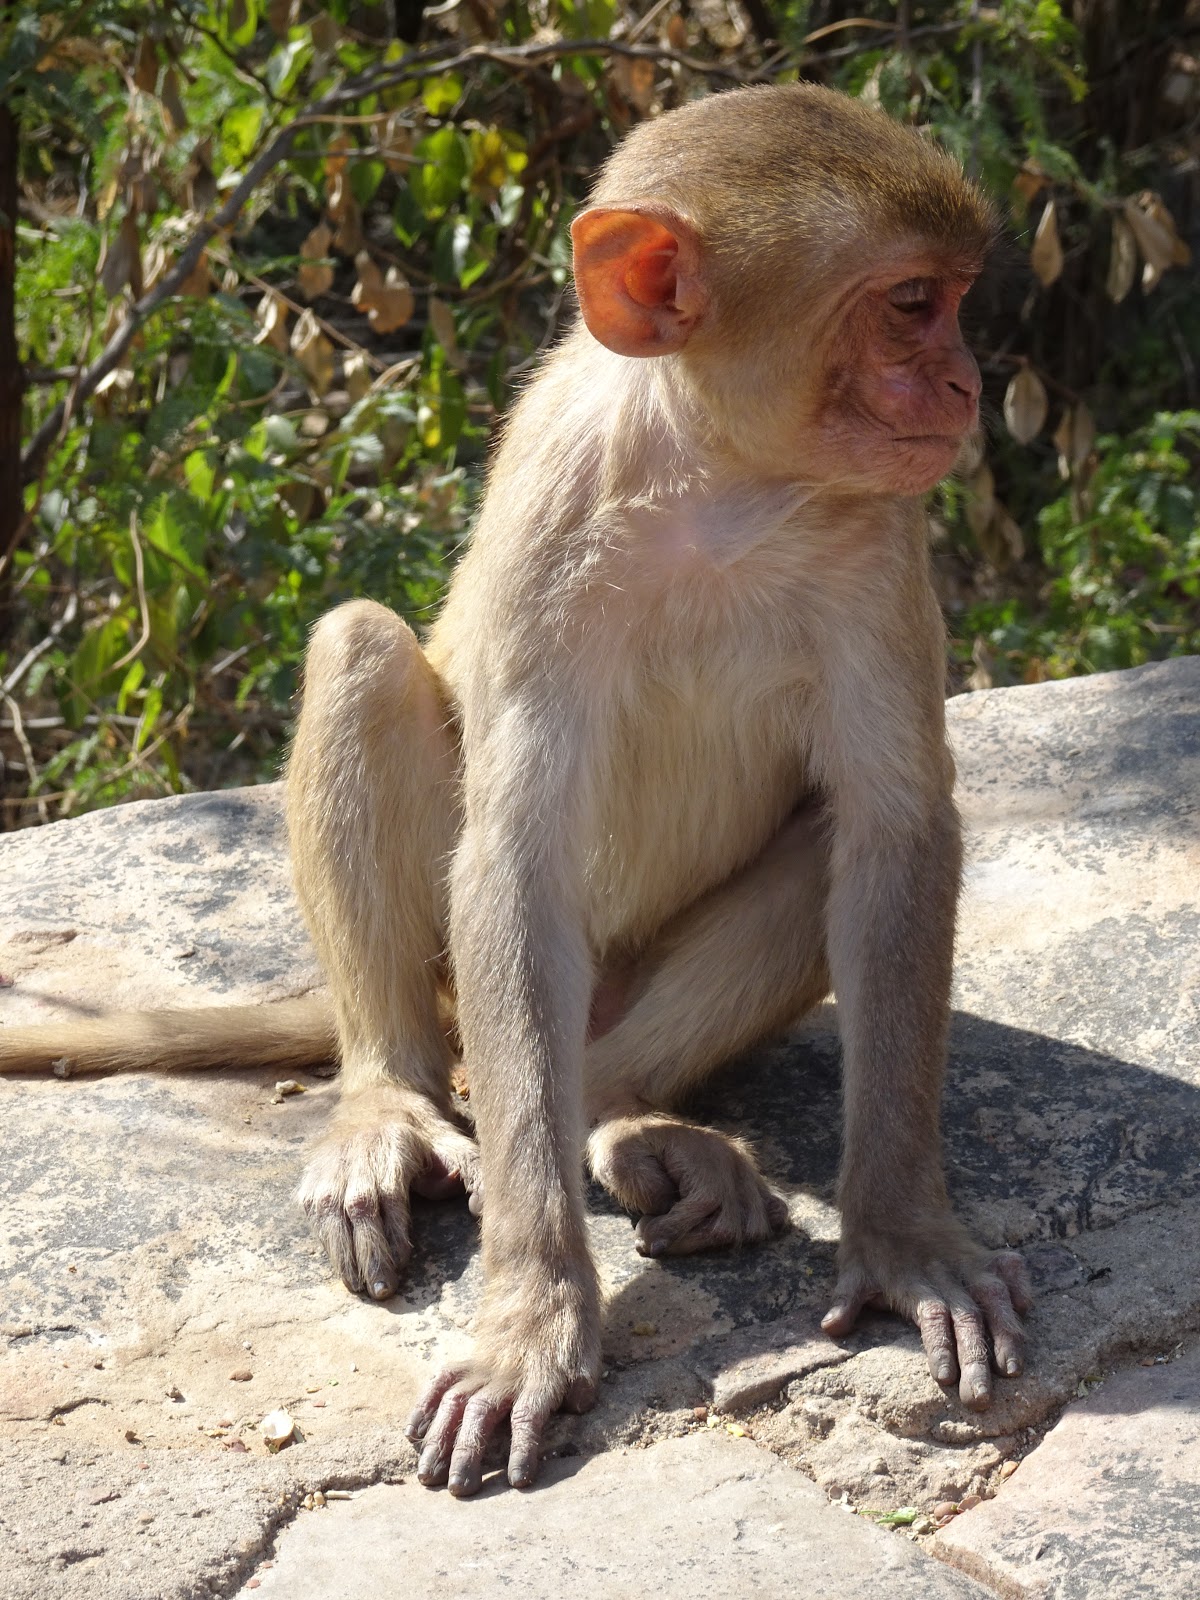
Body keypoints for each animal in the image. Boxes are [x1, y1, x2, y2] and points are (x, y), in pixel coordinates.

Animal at [0, 84, 1032, 1500]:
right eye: (913, 303)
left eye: (953, 300)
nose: (968, 382)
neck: (721, 479)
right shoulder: (555, 512)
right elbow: (516, 856)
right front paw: (534, 1313)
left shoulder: (884, 529)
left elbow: (895, 827)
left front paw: (903, 1231)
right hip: (460, 990)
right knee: (362, 652)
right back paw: (390, 1099)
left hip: (626, 991)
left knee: (802, 861)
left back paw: (623, 1117)